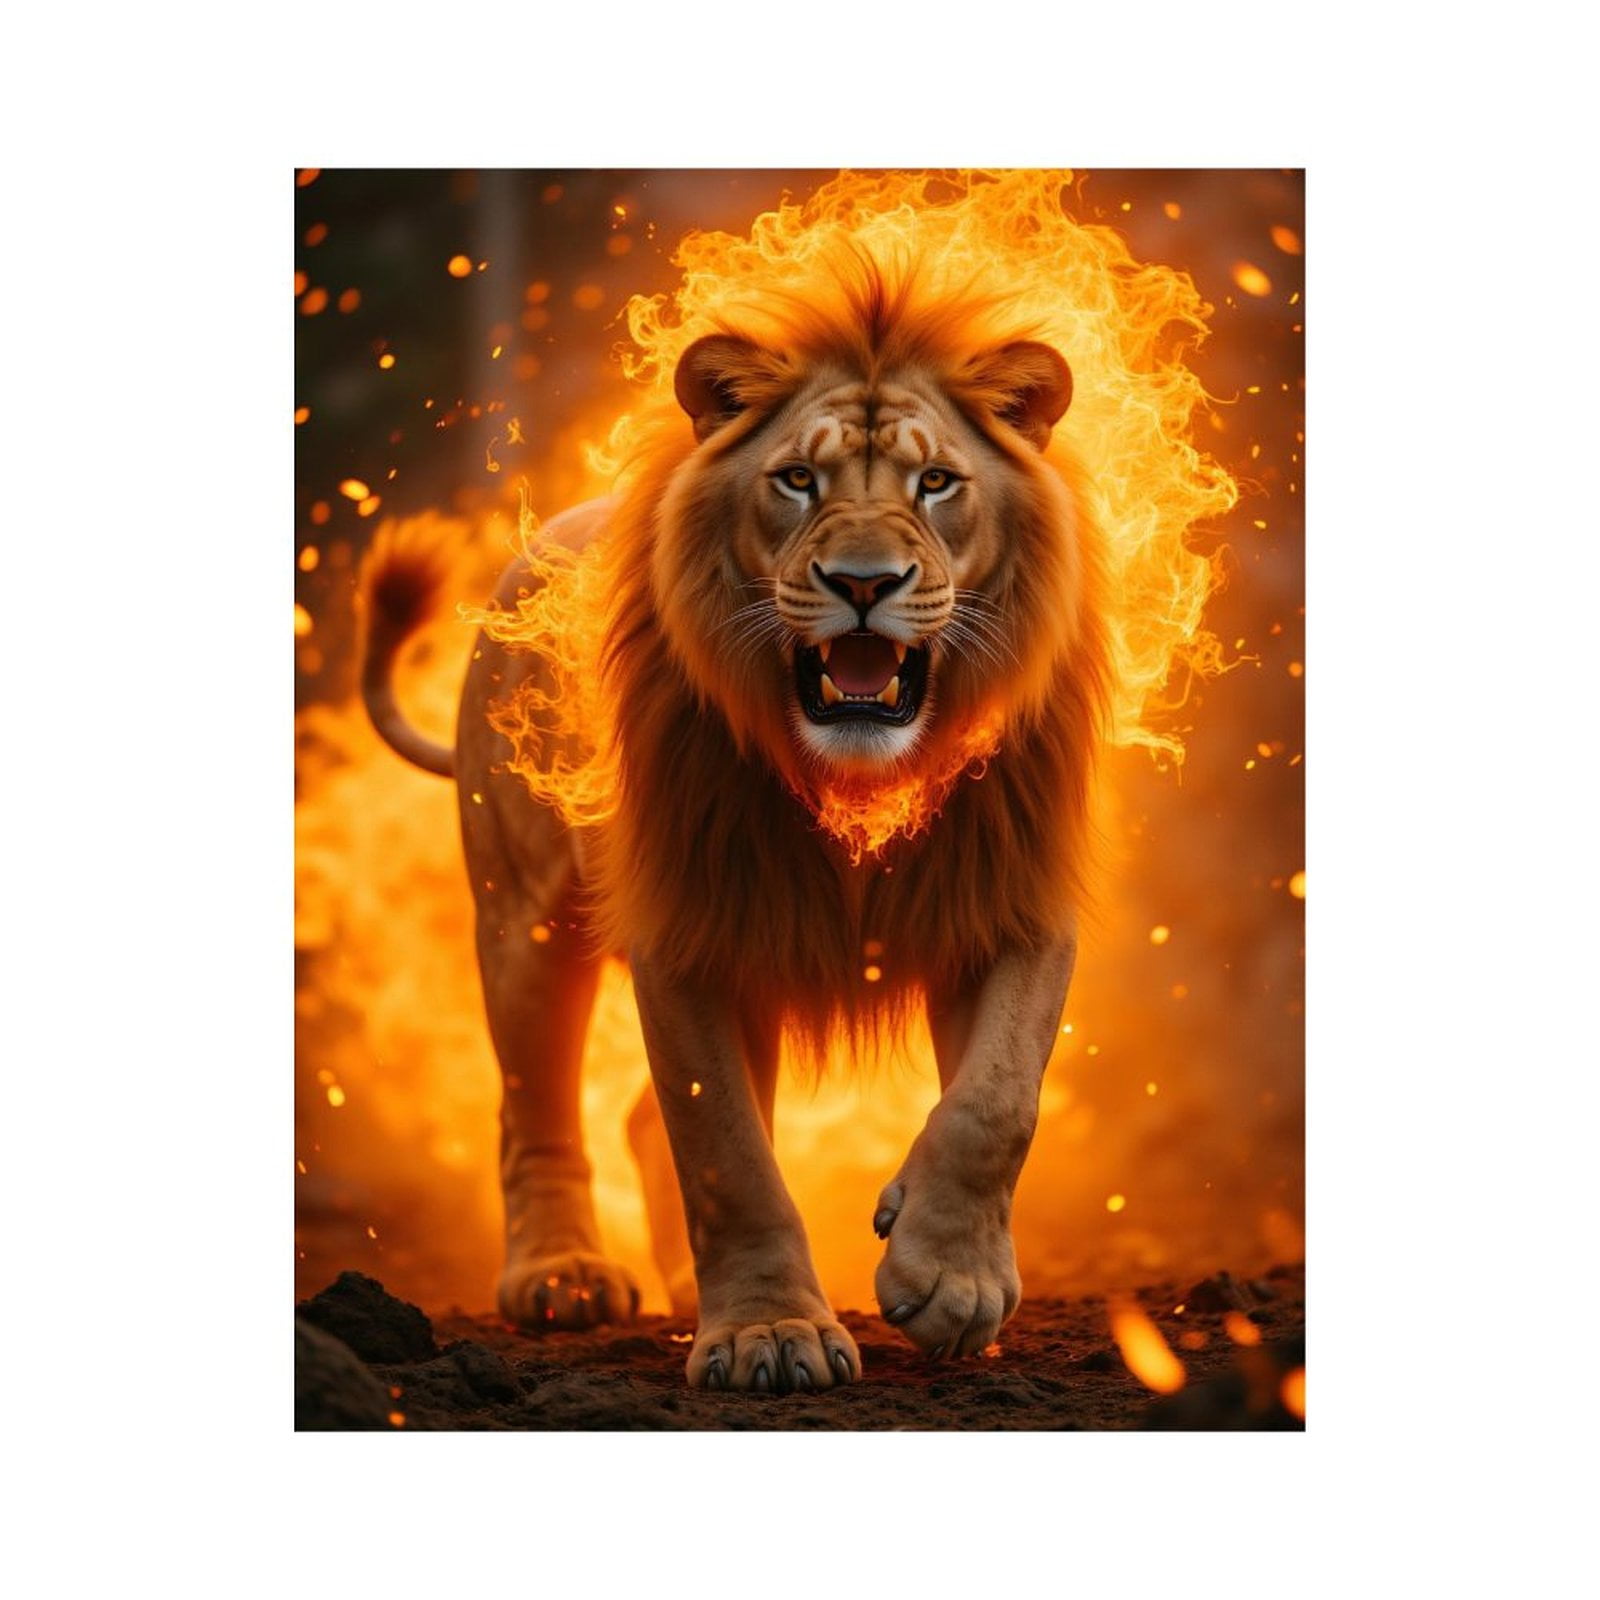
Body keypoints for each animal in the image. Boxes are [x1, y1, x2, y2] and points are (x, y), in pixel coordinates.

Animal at [360, 254, 1110, 1393]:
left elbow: (995, 1101)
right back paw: (562, 1275)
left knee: (634, 1115)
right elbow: (727, 1151)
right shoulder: (691, 928)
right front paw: (769, 1333)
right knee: (536, 1101)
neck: (854, 780)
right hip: (525, 916)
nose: (862, 584)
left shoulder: (1011, 900)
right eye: (797, 480)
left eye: (936, 484)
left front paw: (951, 1279)